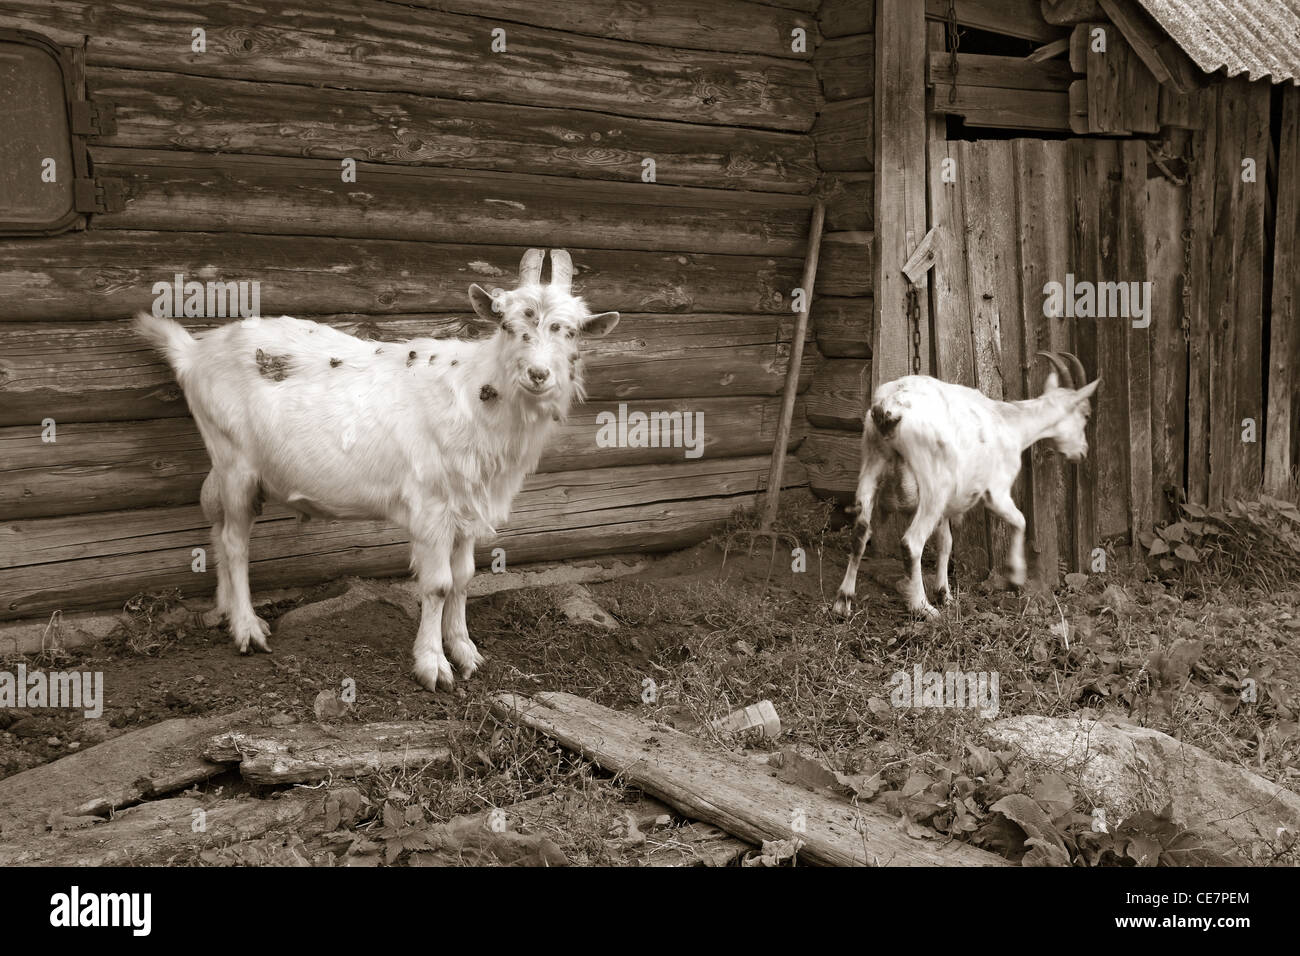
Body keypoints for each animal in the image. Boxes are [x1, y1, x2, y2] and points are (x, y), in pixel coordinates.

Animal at [134, 249, 619, 692]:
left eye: (572, 332)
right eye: (506, 325)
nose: (538, 375)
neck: (476, 391)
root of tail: (193, 353)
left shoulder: (469, 504)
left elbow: (464, 579)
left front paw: (466, 651)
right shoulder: (431, 505)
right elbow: (438, 584)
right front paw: (433, 666)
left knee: (217, 525)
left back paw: (224, 610)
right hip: (234, 459)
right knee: (235, 542)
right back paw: (248, 629)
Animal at [832, 352, 1099, 620]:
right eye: (1086, 414)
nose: (1083, 453)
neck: (1011, 423)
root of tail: (889, 410)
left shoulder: (946, 509)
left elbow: (946, 543)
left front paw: (945, 595)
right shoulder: (997, 491)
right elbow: (1020, 520)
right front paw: (1016, 574)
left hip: (872, 462)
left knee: (860, 532)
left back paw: (843, 602)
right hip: (933, 486)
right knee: (911, 543)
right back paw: (923, 608)